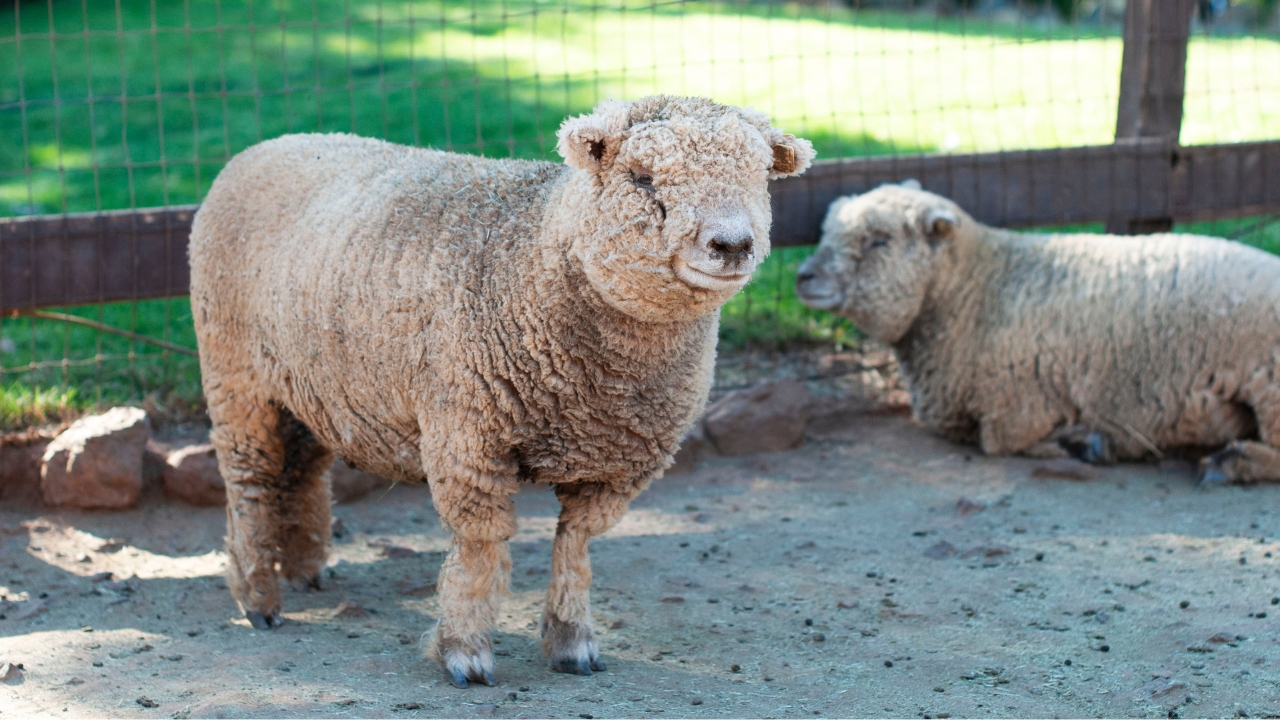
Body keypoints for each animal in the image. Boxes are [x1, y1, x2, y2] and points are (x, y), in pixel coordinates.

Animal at [188, 95, 814, 687]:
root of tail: (264, 147)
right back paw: (258, 597)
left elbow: (575, 547)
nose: (732, 244)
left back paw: (305, 570)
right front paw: (464, 653)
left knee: (302, 470)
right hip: (235, 373)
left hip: (310, 388)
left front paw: (572, 643)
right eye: (641, 177)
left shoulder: (617, 463)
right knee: (250, 483)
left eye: (761, 175)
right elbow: (479, 550)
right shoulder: (467, 440)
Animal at [795, 183, 1280, 483]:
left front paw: (1076, 443)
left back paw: (1233, 462)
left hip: (1270, 386)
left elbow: (998, 441)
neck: (978, 288)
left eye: (880, 241)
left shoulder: (1019, 403)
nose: (802, 276)